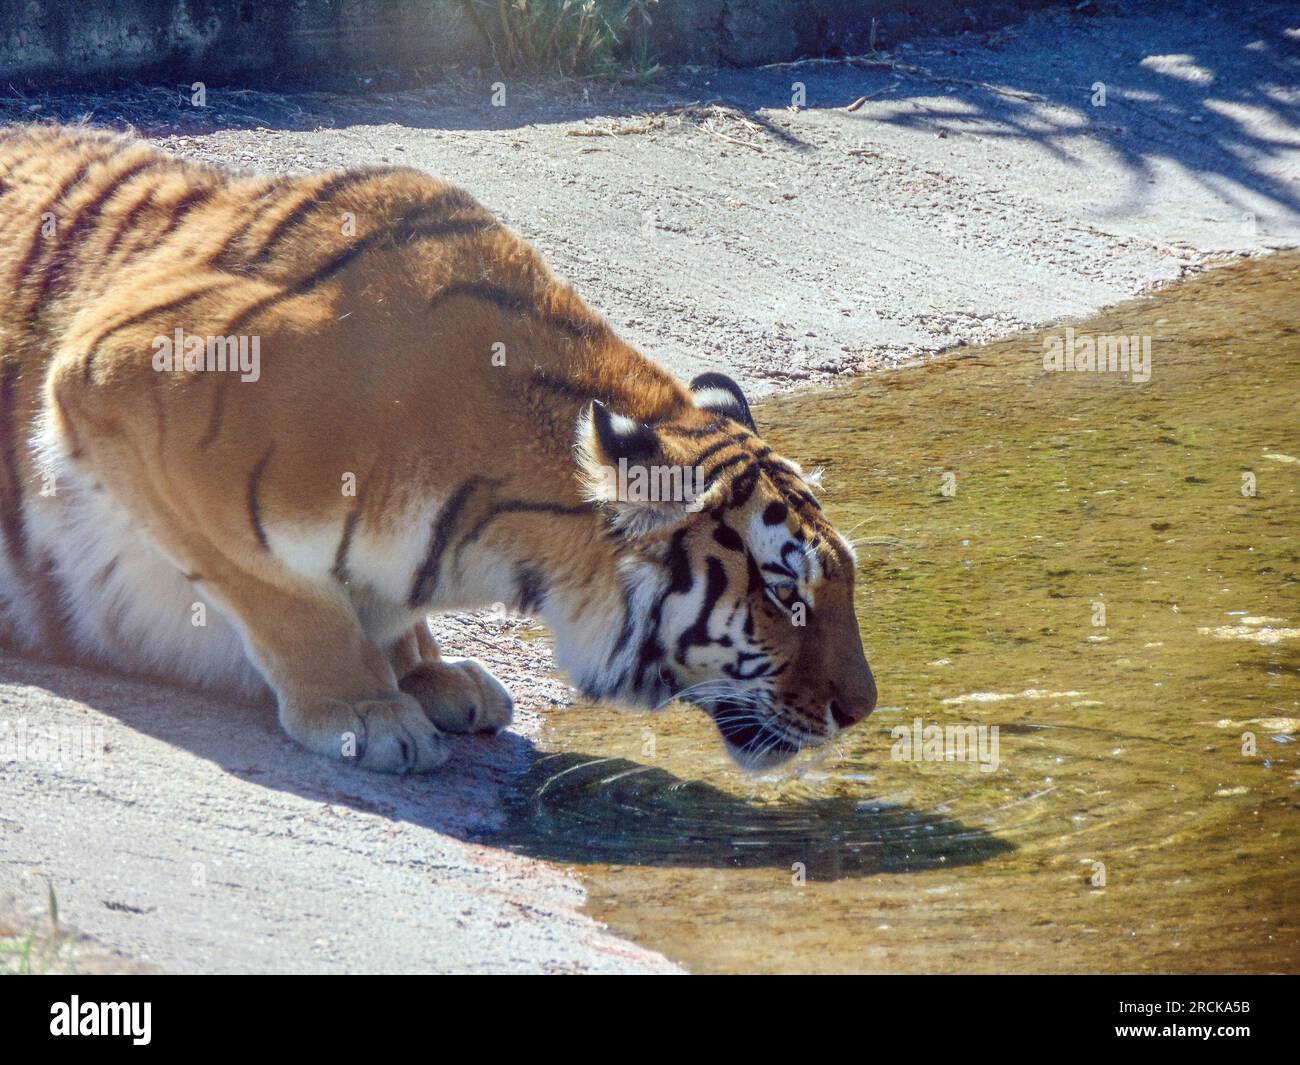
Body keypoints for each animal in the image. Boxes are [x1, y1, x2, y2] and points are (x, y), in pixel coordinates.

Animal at [0, 123, 877, 774]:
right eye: (784, 597)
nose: (862, 708)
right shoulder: (116, 368)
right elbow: (285, 592)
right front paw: (365, 708)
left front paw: (429, 673)